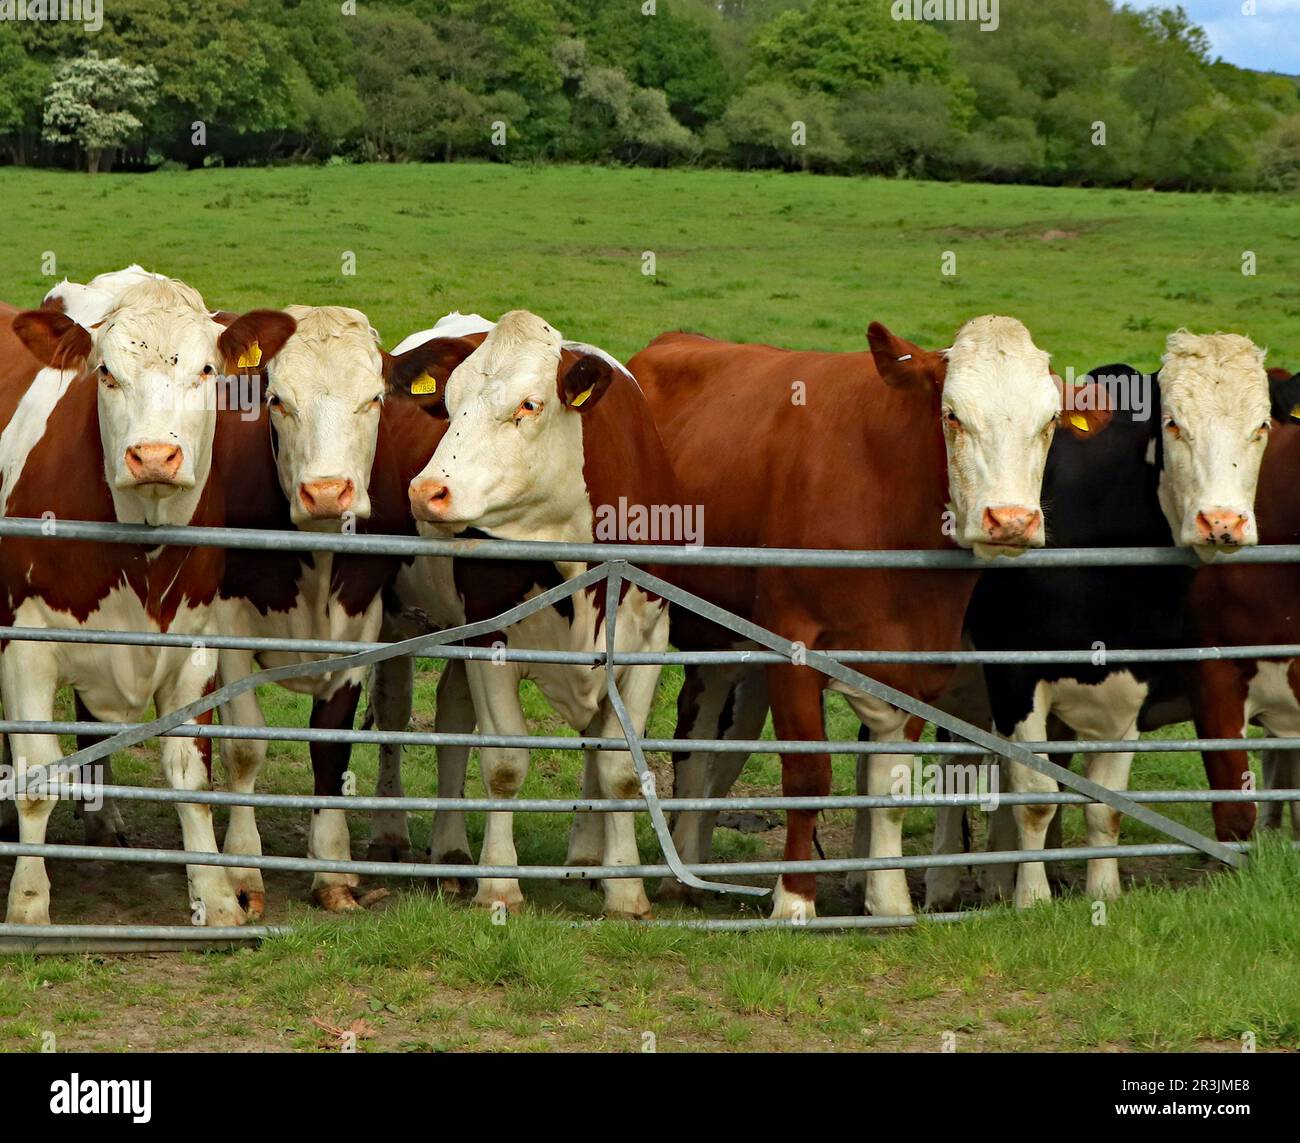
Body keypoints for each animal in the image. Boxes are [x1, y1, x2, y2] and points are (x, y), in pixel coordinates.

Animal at [0, 276, 295, 925]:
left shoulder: (194, 648)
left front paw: (215, 896)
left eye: (207, 370)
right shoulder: (26, 644)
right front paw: (28, 904)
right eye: (106, 373)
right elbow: (37, 776)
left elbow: (190, 775)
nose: (155, 456)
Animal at [405, 310, 677, 918]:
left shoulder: (648, 643)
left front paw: (626, 888)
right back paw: (449, 852)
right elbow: (504, 763)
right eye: (448, 407)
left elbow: (620, 770)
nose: (427, 491)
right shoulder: (489, 640)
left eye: (529, 405)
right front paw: (499, 884)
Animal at [628, 315, 1084, 920]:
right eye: (952, 414)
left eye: (1050, 420)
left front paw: (889, 899)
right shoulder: (792, 647)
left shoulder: (916, 659)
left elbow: (887, 786)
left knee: (704, 742)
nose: (1010, 520)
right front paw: (795, 900)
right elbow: (808, 775)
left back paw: (689, 870)